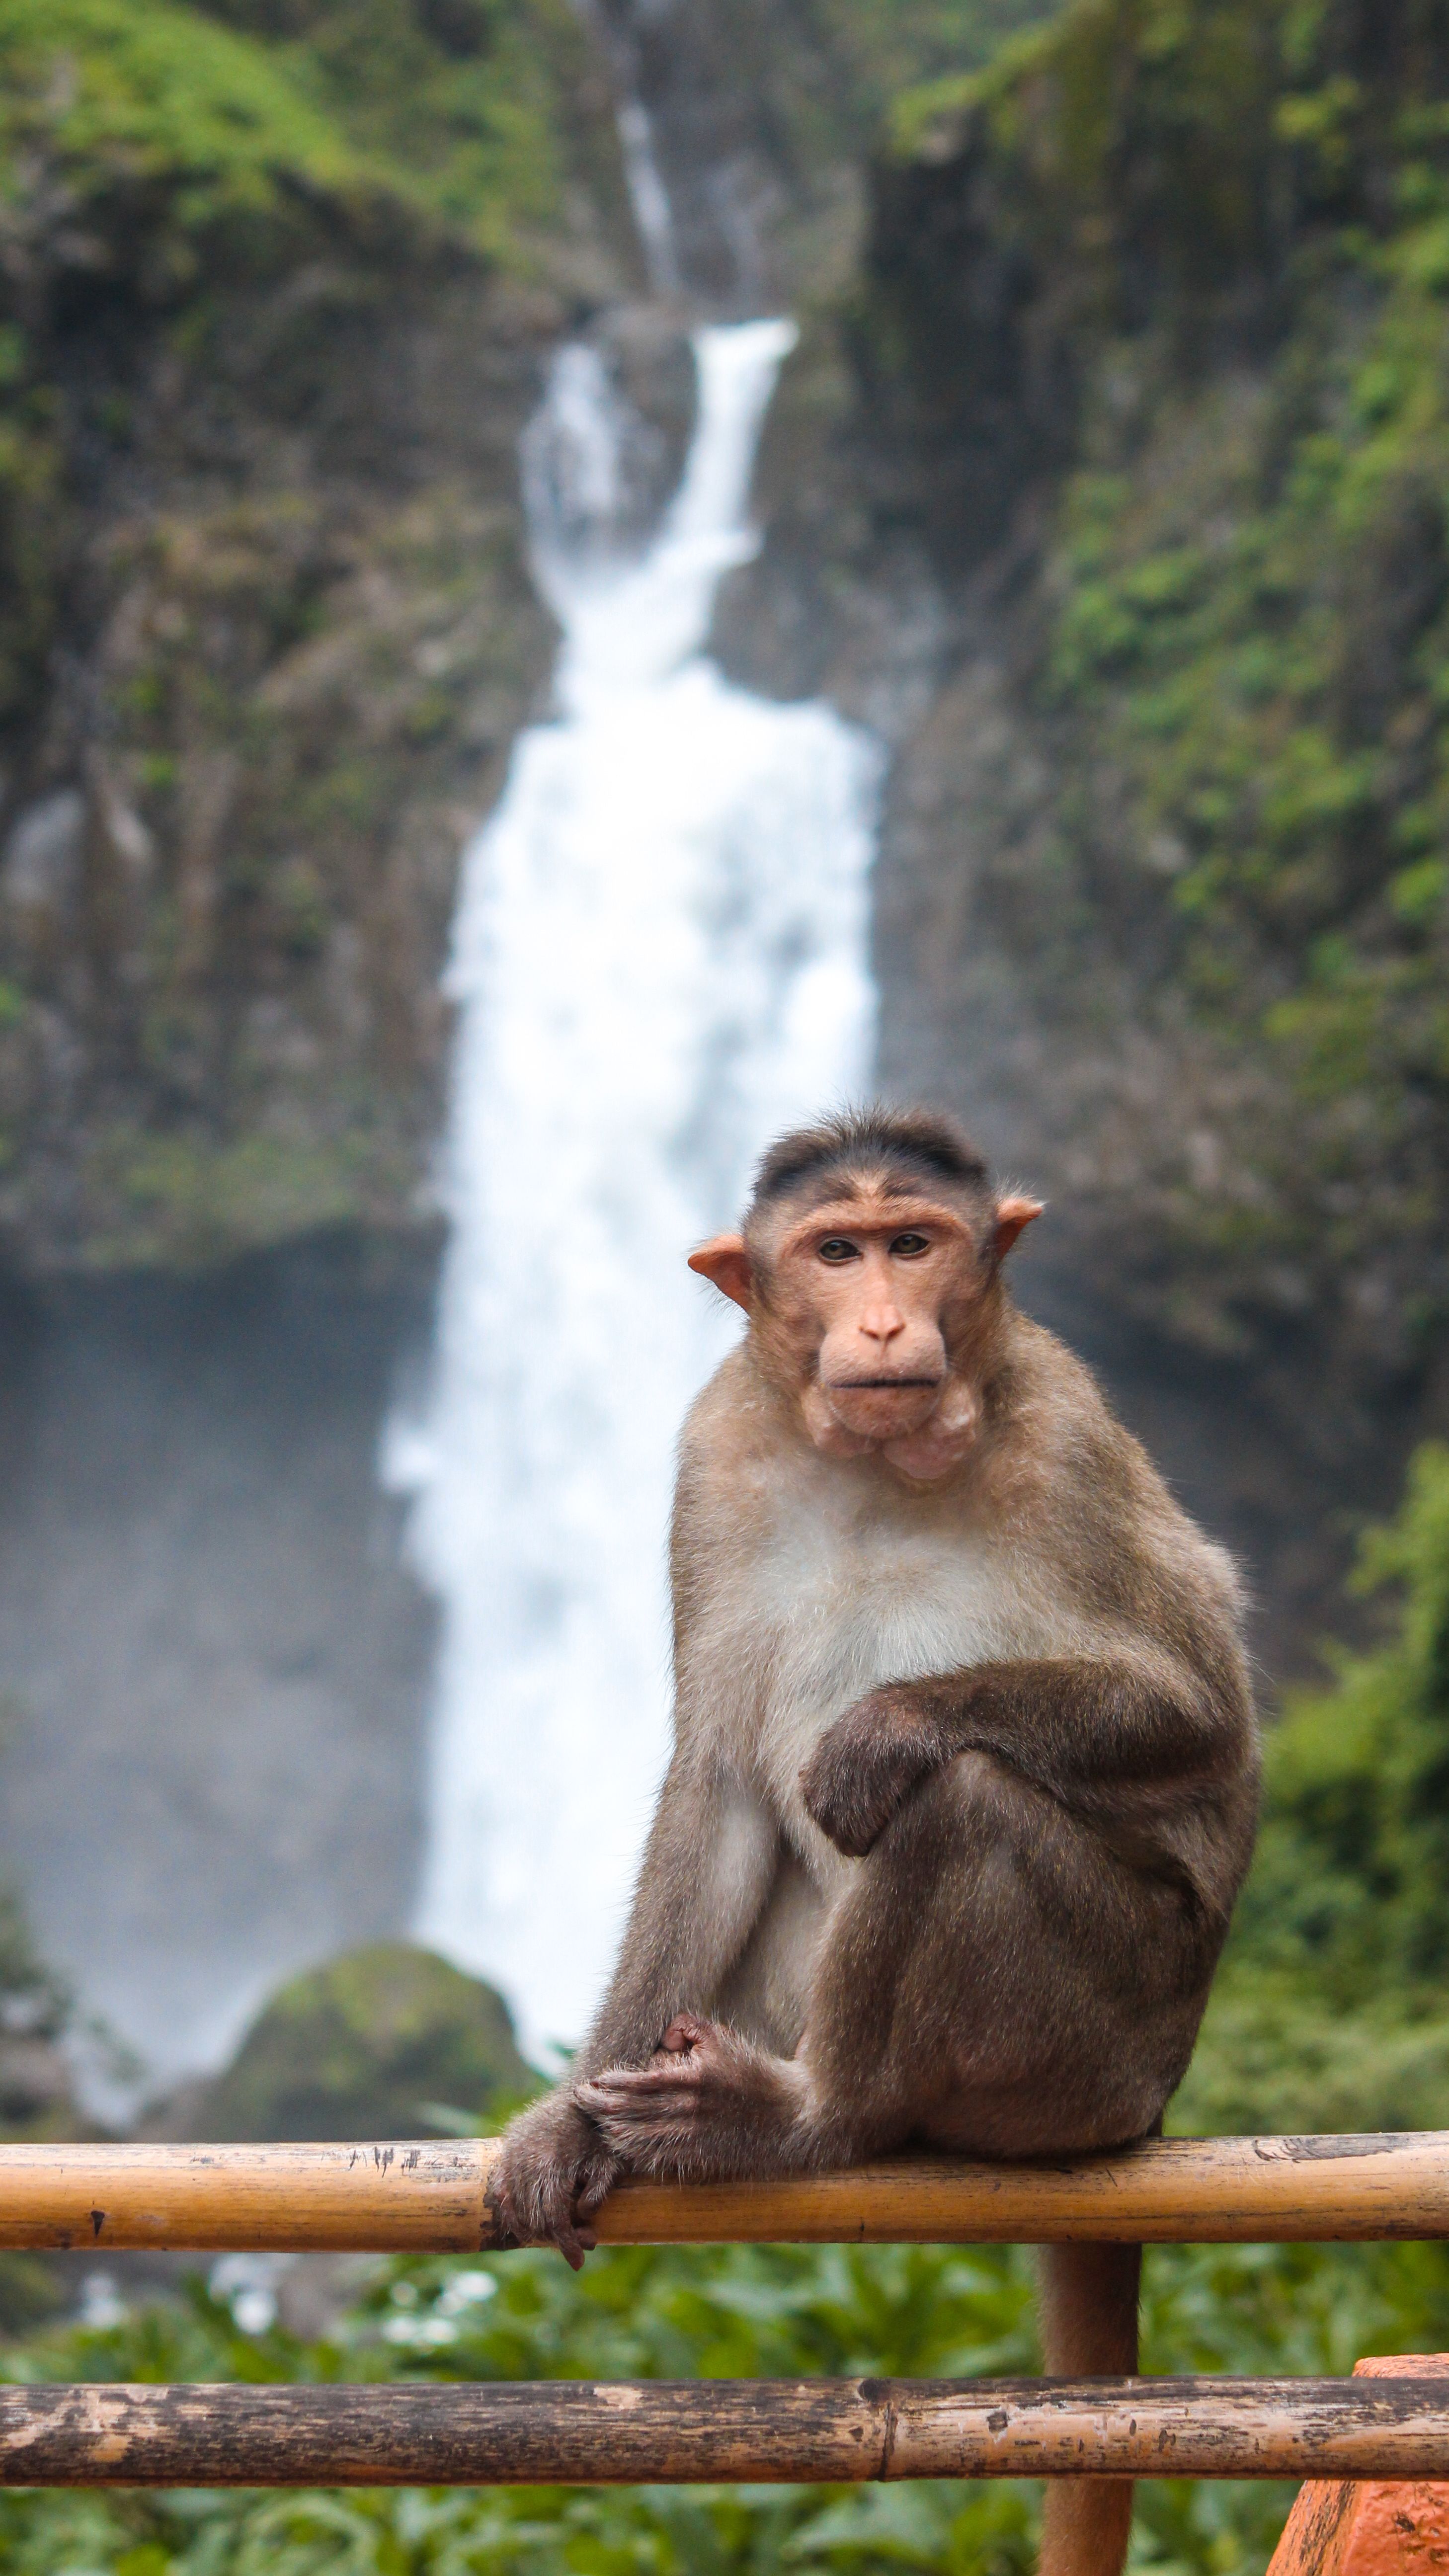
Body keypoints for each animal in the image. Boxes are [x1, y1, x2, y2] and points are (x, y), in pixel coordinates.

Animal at [490, 1104, 1259, 2576]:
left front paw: (883, 1726)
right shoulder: (713, 1458)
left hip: (1093, 2050)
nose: (888, 1323)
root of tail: (1154, 2099)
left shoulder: (1067, 1435)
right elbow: (720, 1792)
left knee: (959, 1807)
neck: (878, 1459)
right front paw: (568, 2114)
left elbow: (1199, 1718)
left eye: (914, 1241)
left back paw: (807, 2119)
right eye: (834, 1253)